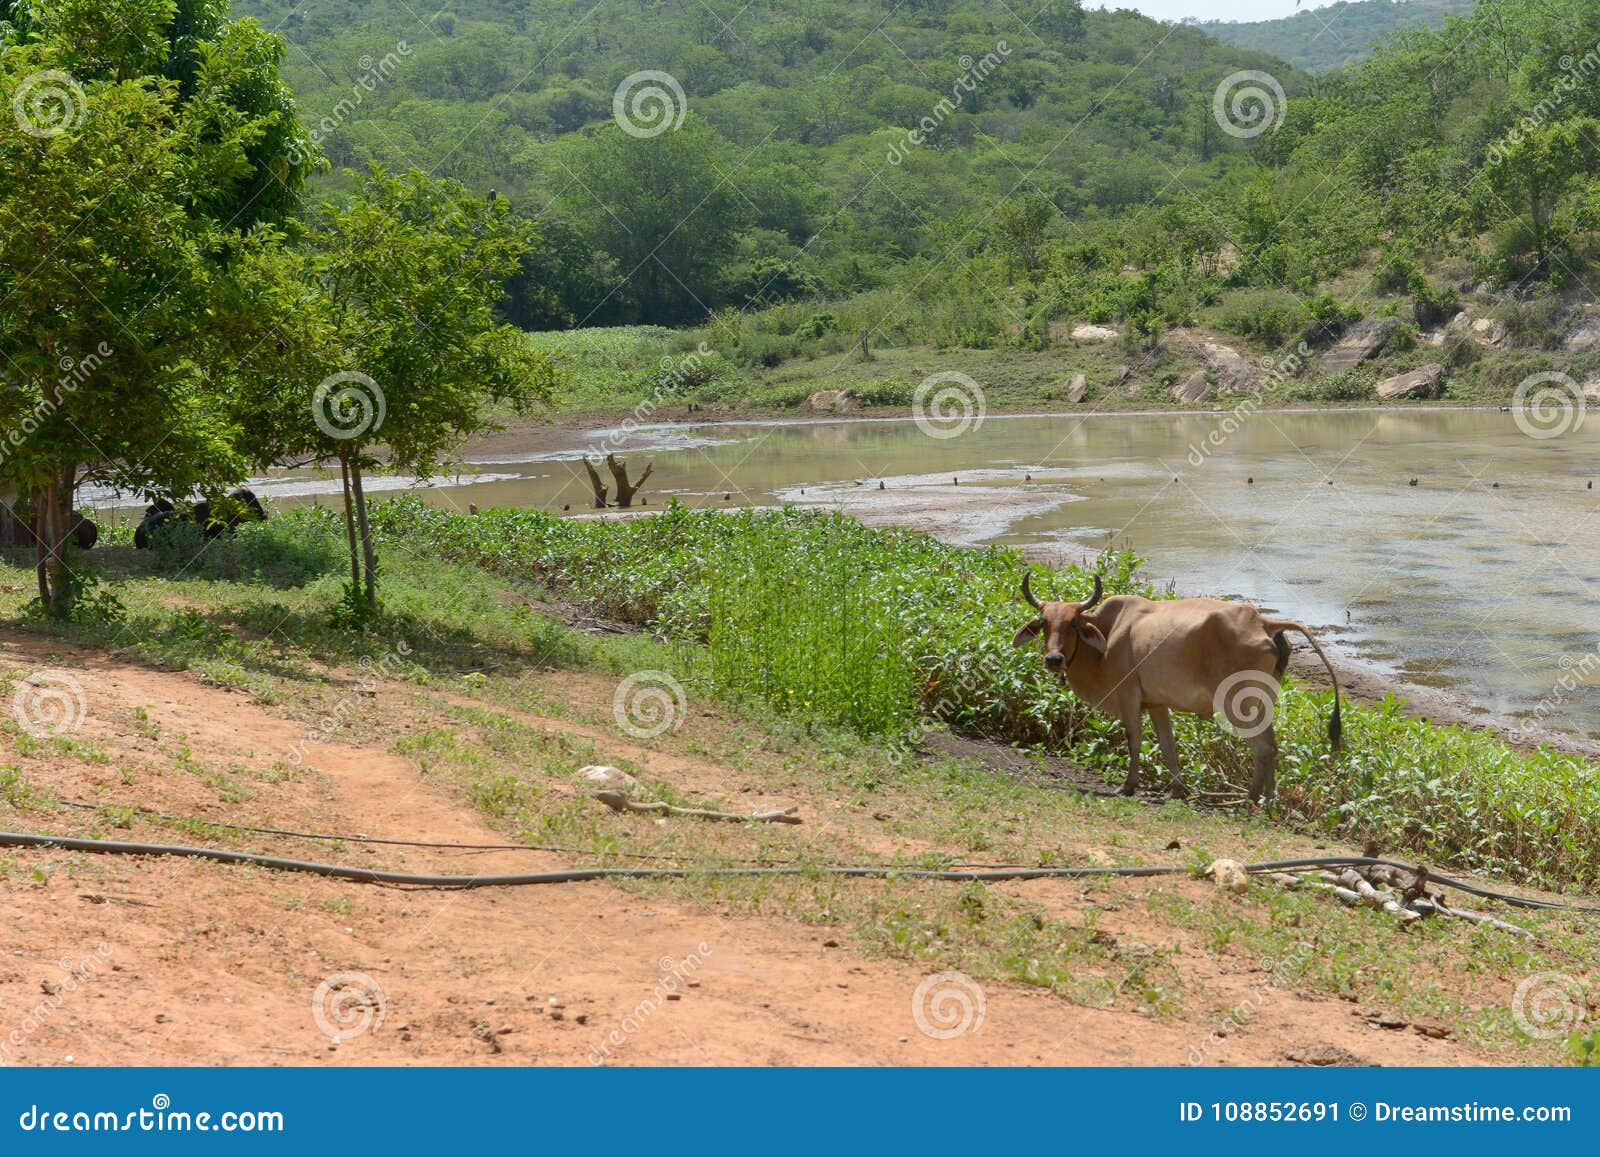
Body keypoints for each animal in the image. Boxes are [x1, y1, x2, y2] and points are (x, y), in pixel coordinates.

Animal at [1012, 572, 1341, 802]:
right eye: (1044, 623)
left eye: (1073, 624)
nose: (1054, 659)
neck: (1106, 637)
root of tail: (1263, 622)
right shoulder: (1157, 703)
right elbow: (1167, 744)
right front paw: (1178, 790)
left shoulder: (1128, 695)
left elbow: (1134, 739)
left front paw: (1128, 786)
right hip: (1262, 701)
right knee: (1271, 746)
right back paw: (1267, 800)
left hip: (1236, 705)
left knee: (1263, 747)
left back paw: (1252, 799)